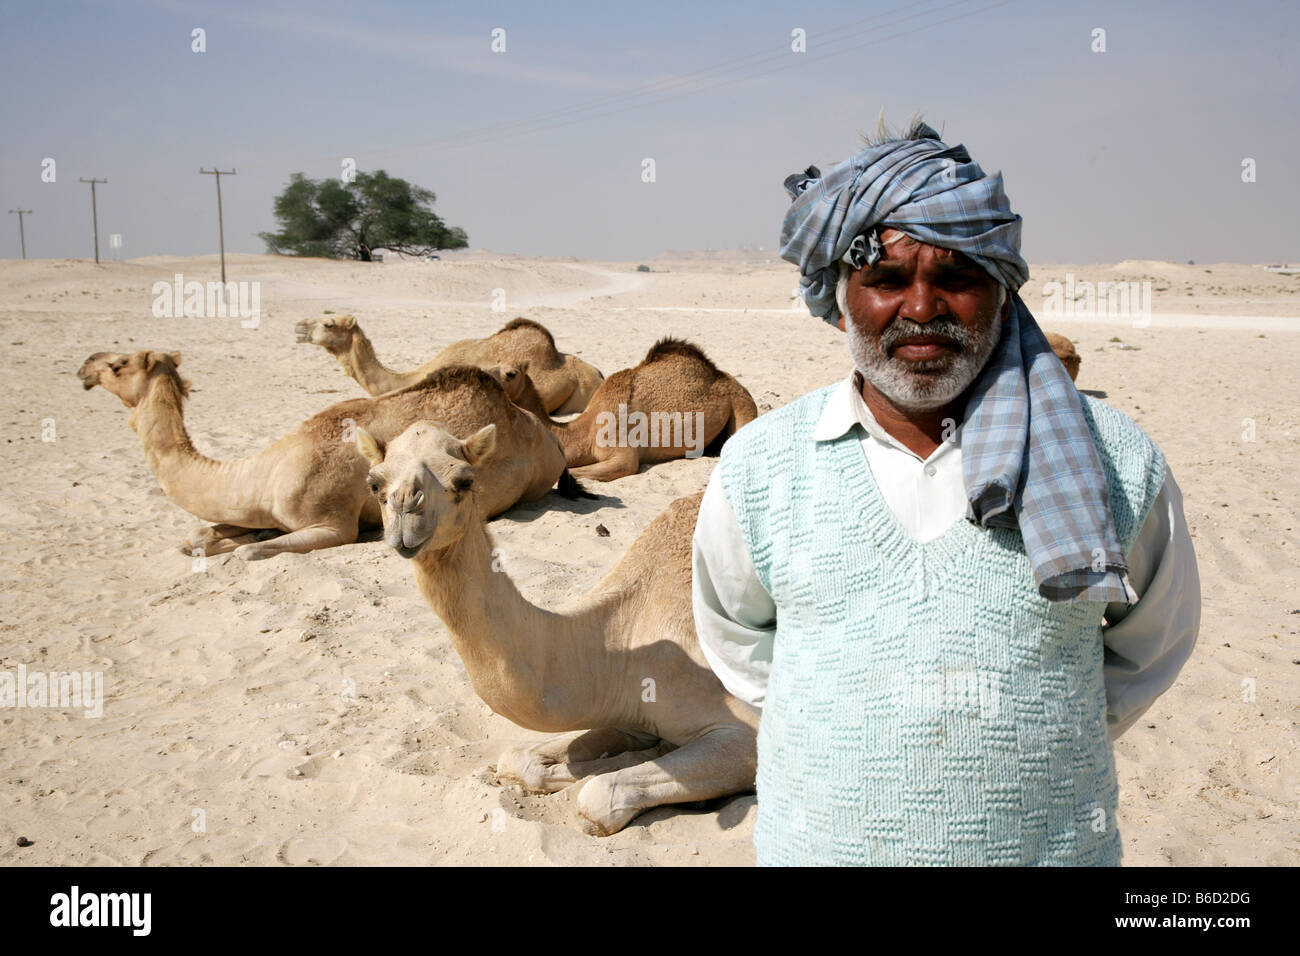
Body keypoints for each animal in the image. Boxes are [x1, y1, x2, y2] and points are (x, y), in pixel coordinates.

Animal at [78, 350, 570, 560]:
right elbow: (199, 536)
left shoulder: (332, 523)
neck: (265, 473)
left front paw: (245, 544)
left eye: (118, 365)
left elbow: (251, 553)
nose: (85, 367)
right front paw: (219, 538)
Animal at [357, 419, 758, 835]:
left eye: (464, 481)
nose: (406, 512)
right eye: (374, 483)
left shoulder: (746, 734)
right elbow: (518, 759)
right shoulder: (631, 714)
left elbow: (596, 798)